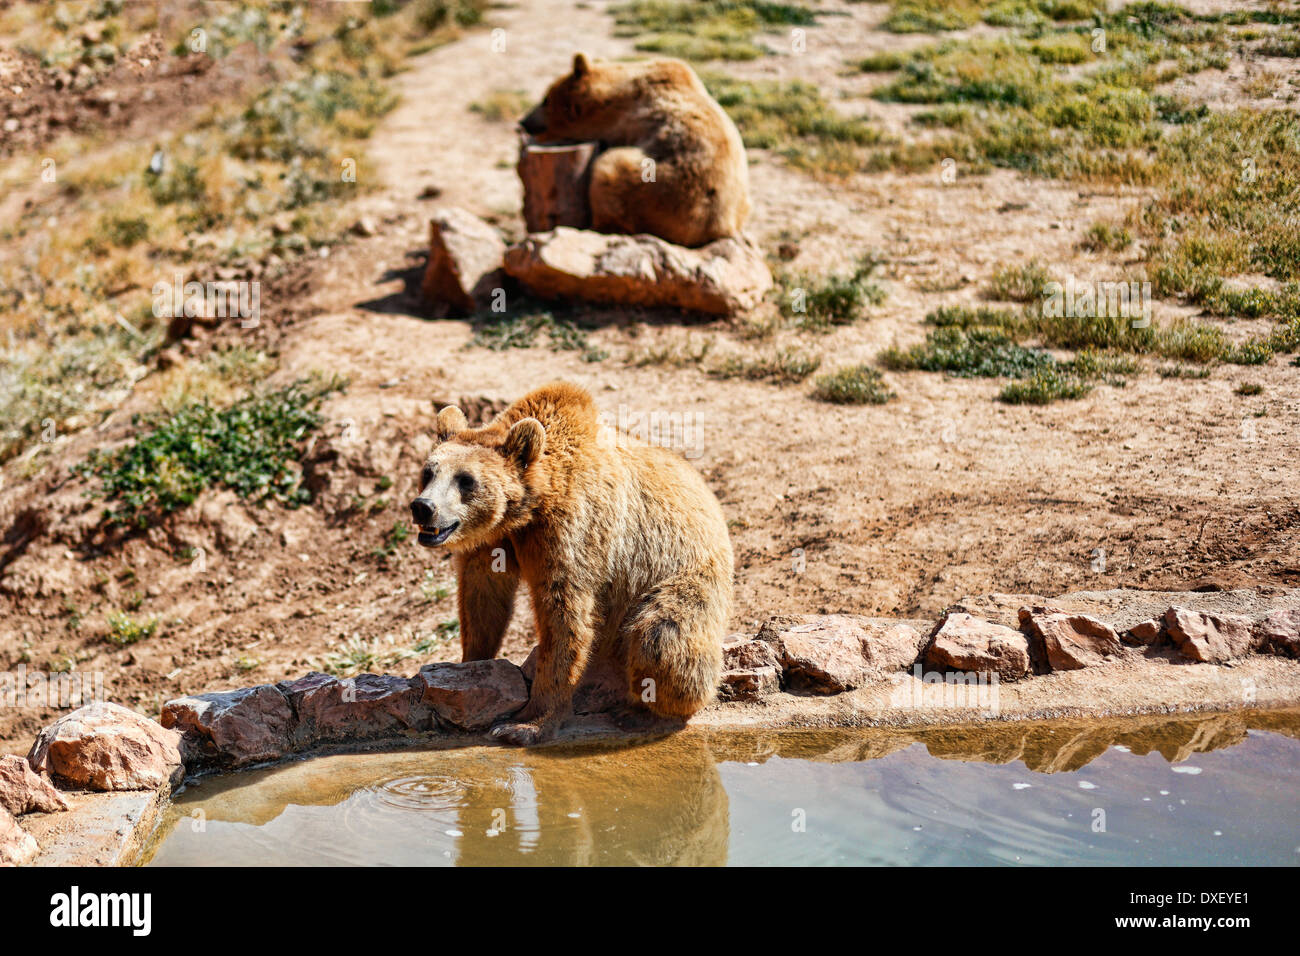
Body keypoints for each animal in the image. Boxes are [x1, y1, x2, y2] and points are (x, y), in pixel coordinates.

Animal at [409, 382, 734, 746]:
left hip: (682, 577)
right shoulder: (491, 544)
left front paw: (525, 724)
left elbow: (565, 615)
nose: (423, 507)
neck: (527, 511)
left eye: (466, 479)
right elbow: (482, 601)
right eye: (428, 471)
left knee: (660, 638)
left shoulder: (573, 533)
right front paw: (471, 664)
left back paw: (644, 713)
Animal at [519, 53, 751, 249]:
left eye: (545, 99)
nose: (524, 122)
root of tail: (719, 227)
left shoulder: (617, 124)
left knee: (608, 170)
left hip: (661, 192)